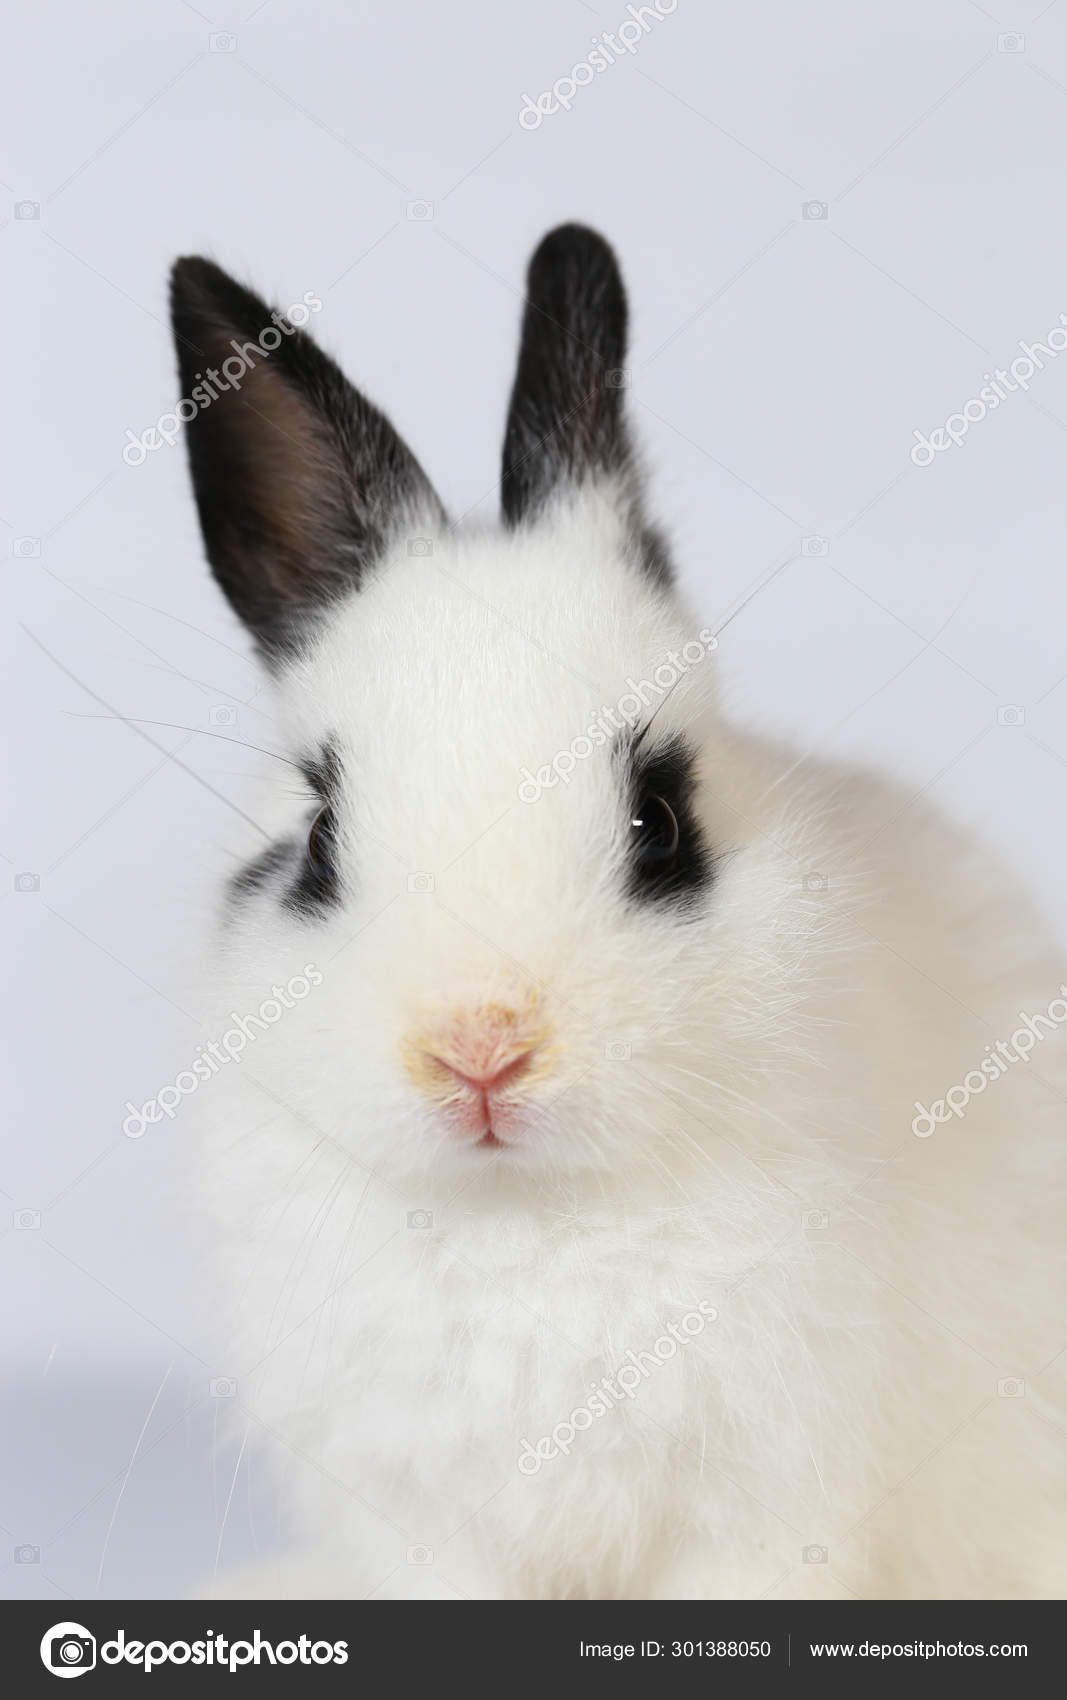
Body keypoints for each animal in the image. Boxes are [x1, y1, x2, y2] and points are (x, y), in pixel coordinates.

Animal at [170, 224, 1067, 1601]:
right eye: (317, 839)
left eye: (659, 820)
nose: (478, 1049)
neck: (526, 1219)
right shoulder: (417, 1526)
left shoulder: (760, 1518)